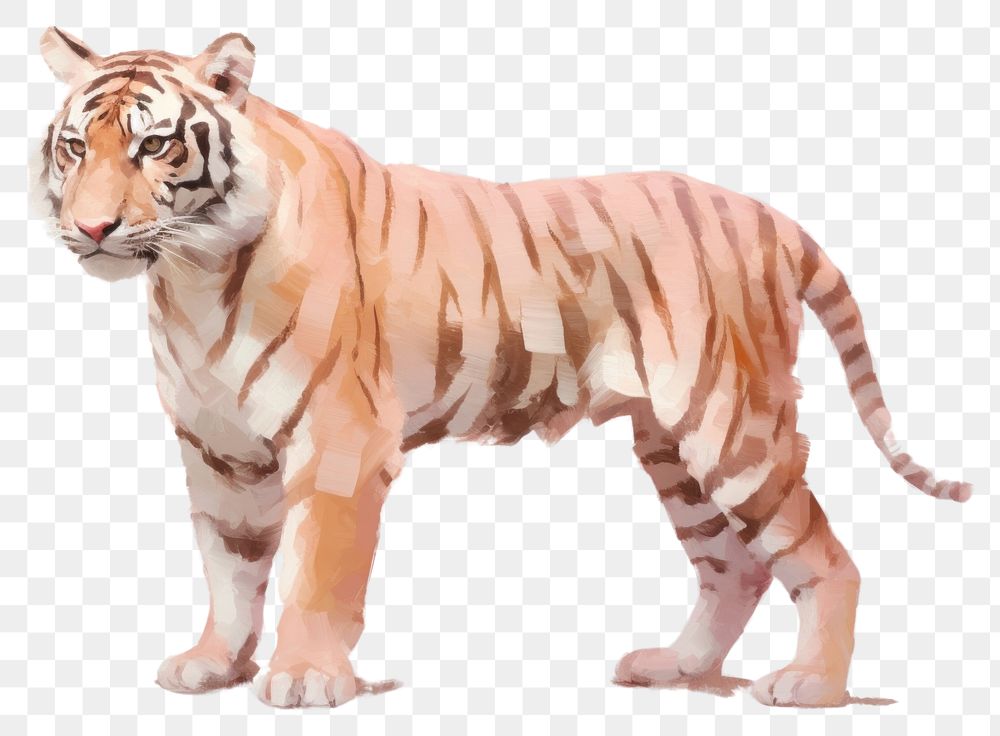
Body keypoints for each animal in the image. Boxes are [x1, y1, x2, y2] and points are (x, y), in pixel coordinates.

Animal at [32, 27, 972, 709]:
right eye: (75, 147)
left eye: (155, 146)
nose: (93, 230)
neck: (190, 275)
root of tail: (771, 217)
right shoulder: (218, 448)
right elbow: (229, 565)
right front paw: (213, 664)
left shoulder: (339, 439)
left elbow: (313, 570)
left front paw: (304, 678)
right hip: (672, 445)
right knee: (732, 565)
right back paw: (675, 667)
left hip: (731, 423)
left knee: (824, 555)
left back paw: (810, 686)